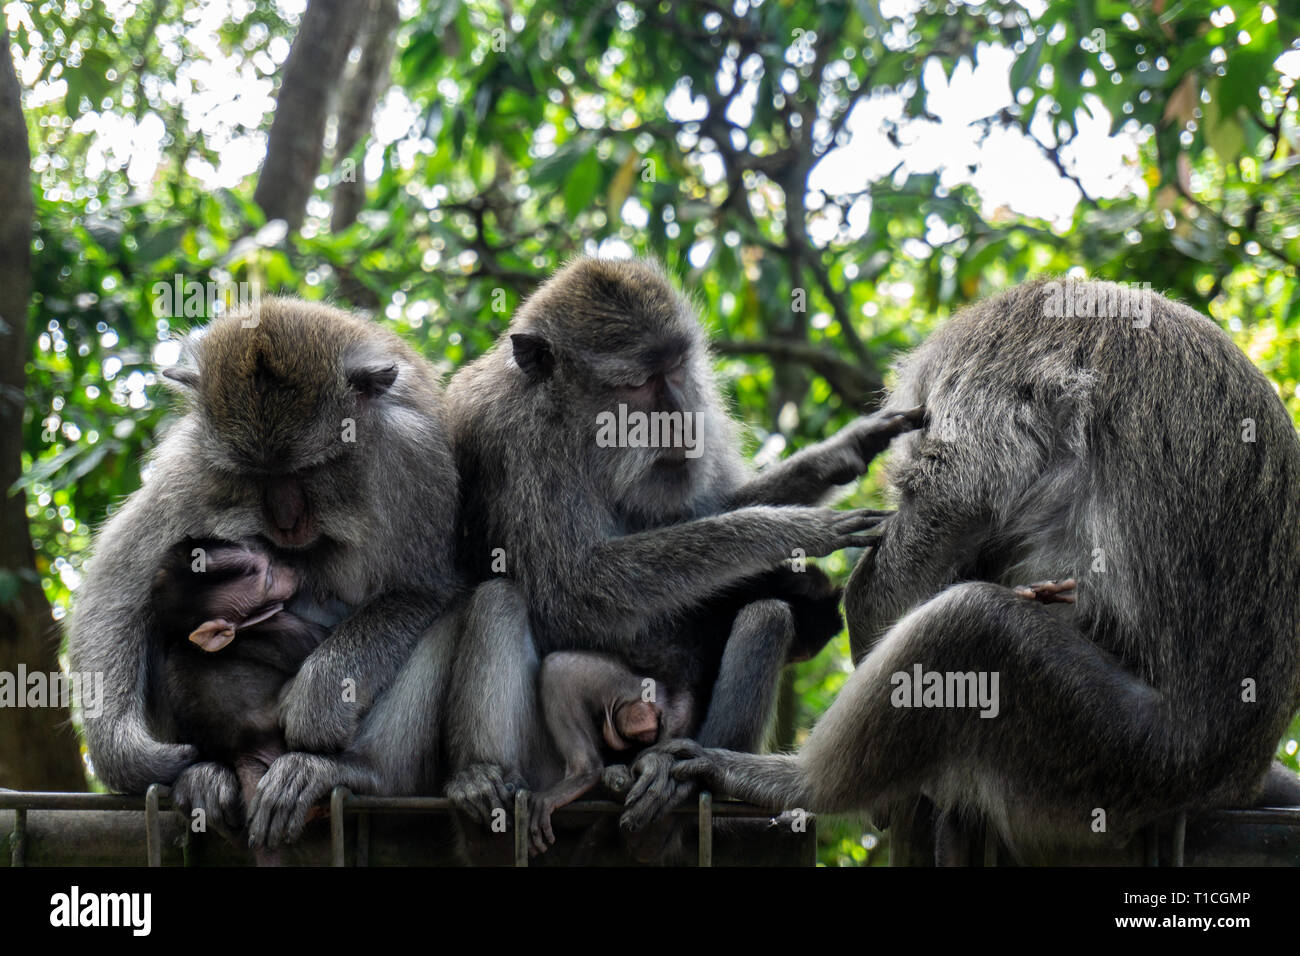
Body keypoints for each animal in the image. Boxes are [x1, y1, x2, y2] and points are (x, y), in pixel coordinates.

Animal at [65, 297, 462, 848]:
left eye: (308, 471)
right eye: (252, 476)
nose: (285, 522)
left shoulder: (416, 462)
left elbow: (427, 589)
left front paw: (320, 695)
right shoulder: (190, 467)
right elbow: (118, 587)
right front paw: (123, 753)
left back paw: (343, 772)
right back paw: (204, 777)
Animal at [440, 256, 924, 845]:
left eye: (675, 369)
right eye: (638, 383)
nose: (680, 416)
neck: (571, 425)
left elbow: (703, 509)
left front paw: (839, 453)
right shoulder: (525, 447)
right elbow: (573, 589)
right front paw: (786, 528)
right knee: (504, 598)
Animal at [632, 278, 1300, 855]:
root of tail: (1233, 772)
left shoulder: (994, 351)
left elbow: (960, 494)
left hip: (1127, 752)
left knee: (972, 625)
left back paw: (796, 784)